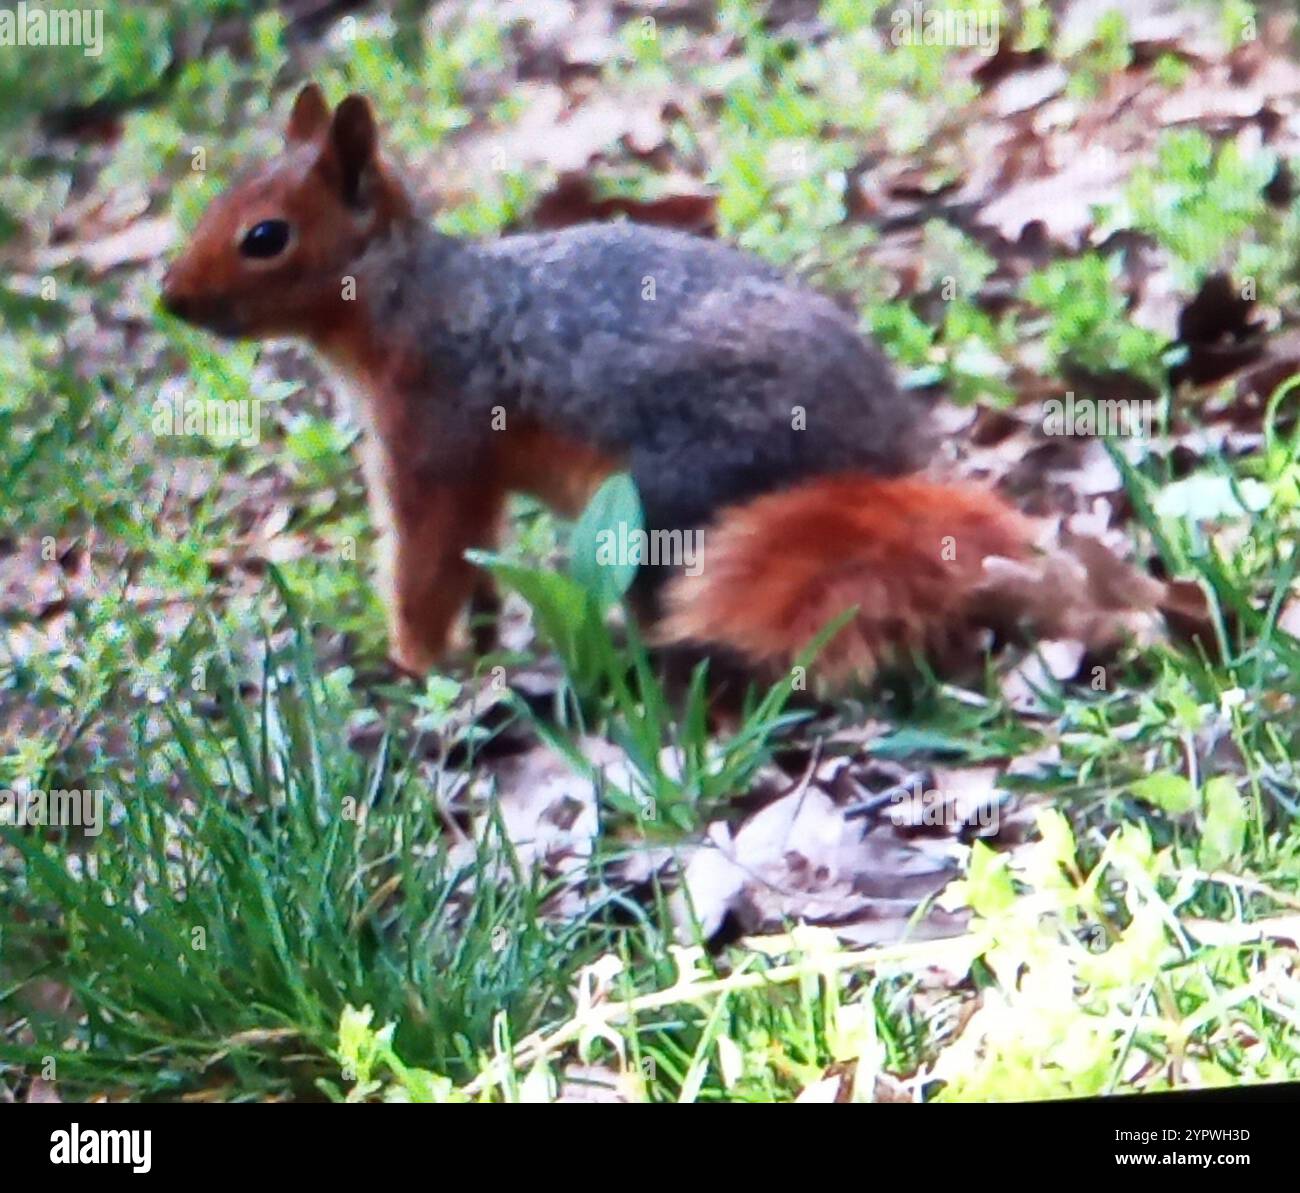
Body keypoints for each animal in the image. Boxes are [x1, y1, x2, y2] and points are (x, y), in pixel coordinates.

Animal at [160, 84, 1034, 683]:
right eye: (217, 199)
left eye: (265, 236)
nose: (171, 300)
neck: (409, 301)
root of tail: (878, 471)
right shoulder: (472, 468)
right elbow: (476, 551)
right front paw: (480, 635)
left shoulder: (432, 433)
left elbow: (426, 559)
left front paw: (413, 661)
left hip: (670, 493)